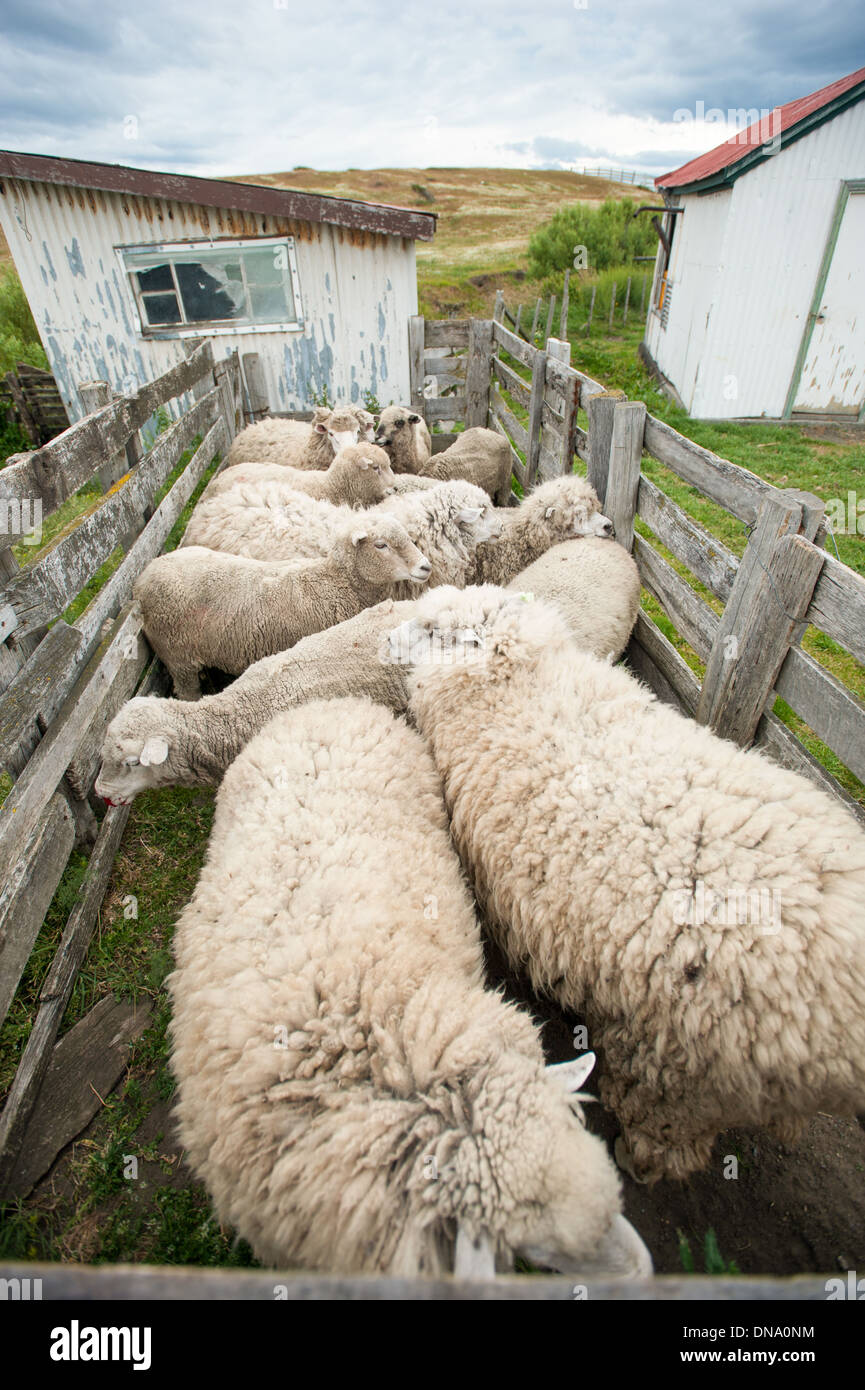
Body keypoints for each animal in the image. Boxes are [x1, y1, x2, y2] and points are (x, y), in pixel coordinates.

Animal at [133, 517, 431, 699]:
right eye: (381, 545)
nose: (425, 566)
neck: (336, 582)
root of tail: (143, 578)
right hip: (176, 655)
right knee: (186, 690)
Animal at [391, 585, 865, 1184]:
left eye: (432, 629)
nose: (384, 638)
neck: (516, 680)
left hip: (680, 1073)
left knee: (663, 1135)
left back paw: (631, 1159)